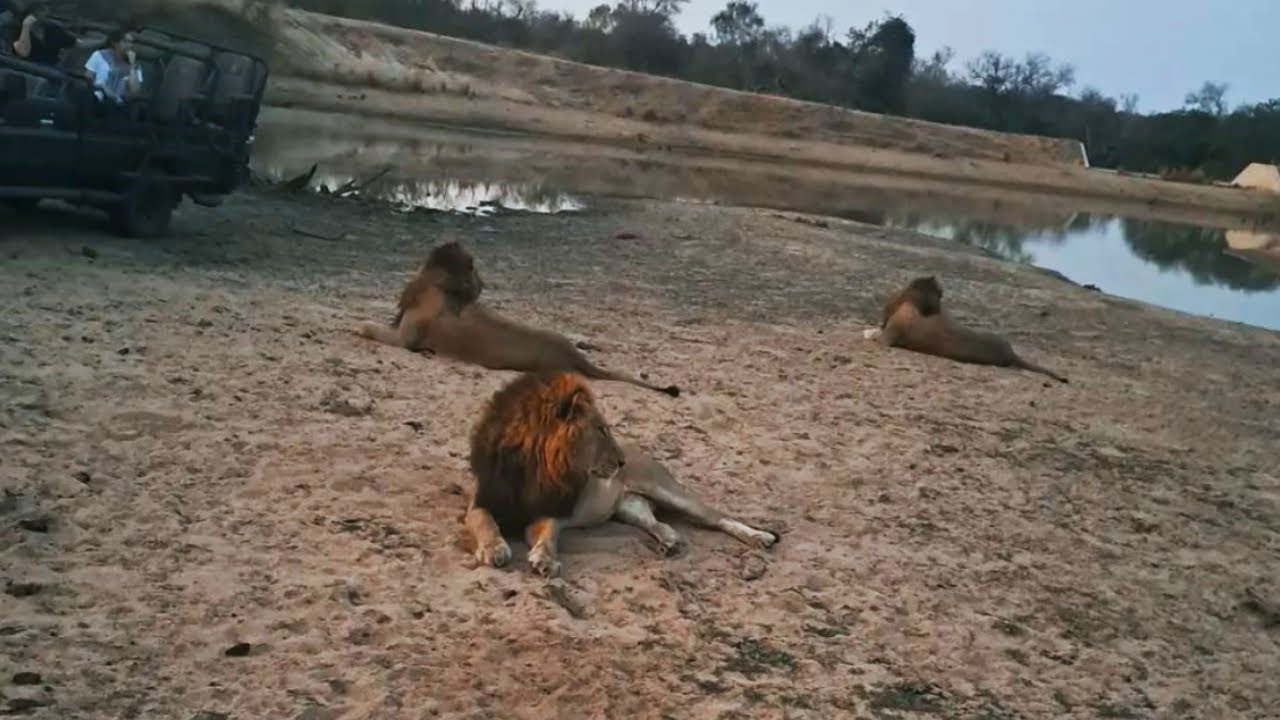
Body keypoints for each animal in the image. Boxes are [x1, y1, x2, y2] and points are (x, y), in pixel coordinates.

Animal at [356, 244, 680, 398]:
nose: (483, 284)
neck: (435, 284)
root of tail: (576, 357)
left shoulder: (406, 338)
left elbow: (375, 329)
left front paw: (361, 327)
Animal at [463, 371, 777, 577]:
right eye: (601, 430)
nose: (622, 462)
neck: (531, 466)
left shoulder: (550, 512)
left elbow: (549, 534)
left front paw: (545, 559)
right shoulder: (481, 502)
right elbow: (485, 522)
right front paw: (494, 549)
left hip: (668, 491)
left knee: (717, 517)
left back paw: (759, 537)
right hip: (629, 507)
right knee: (655, 522)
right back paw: (670, 542)